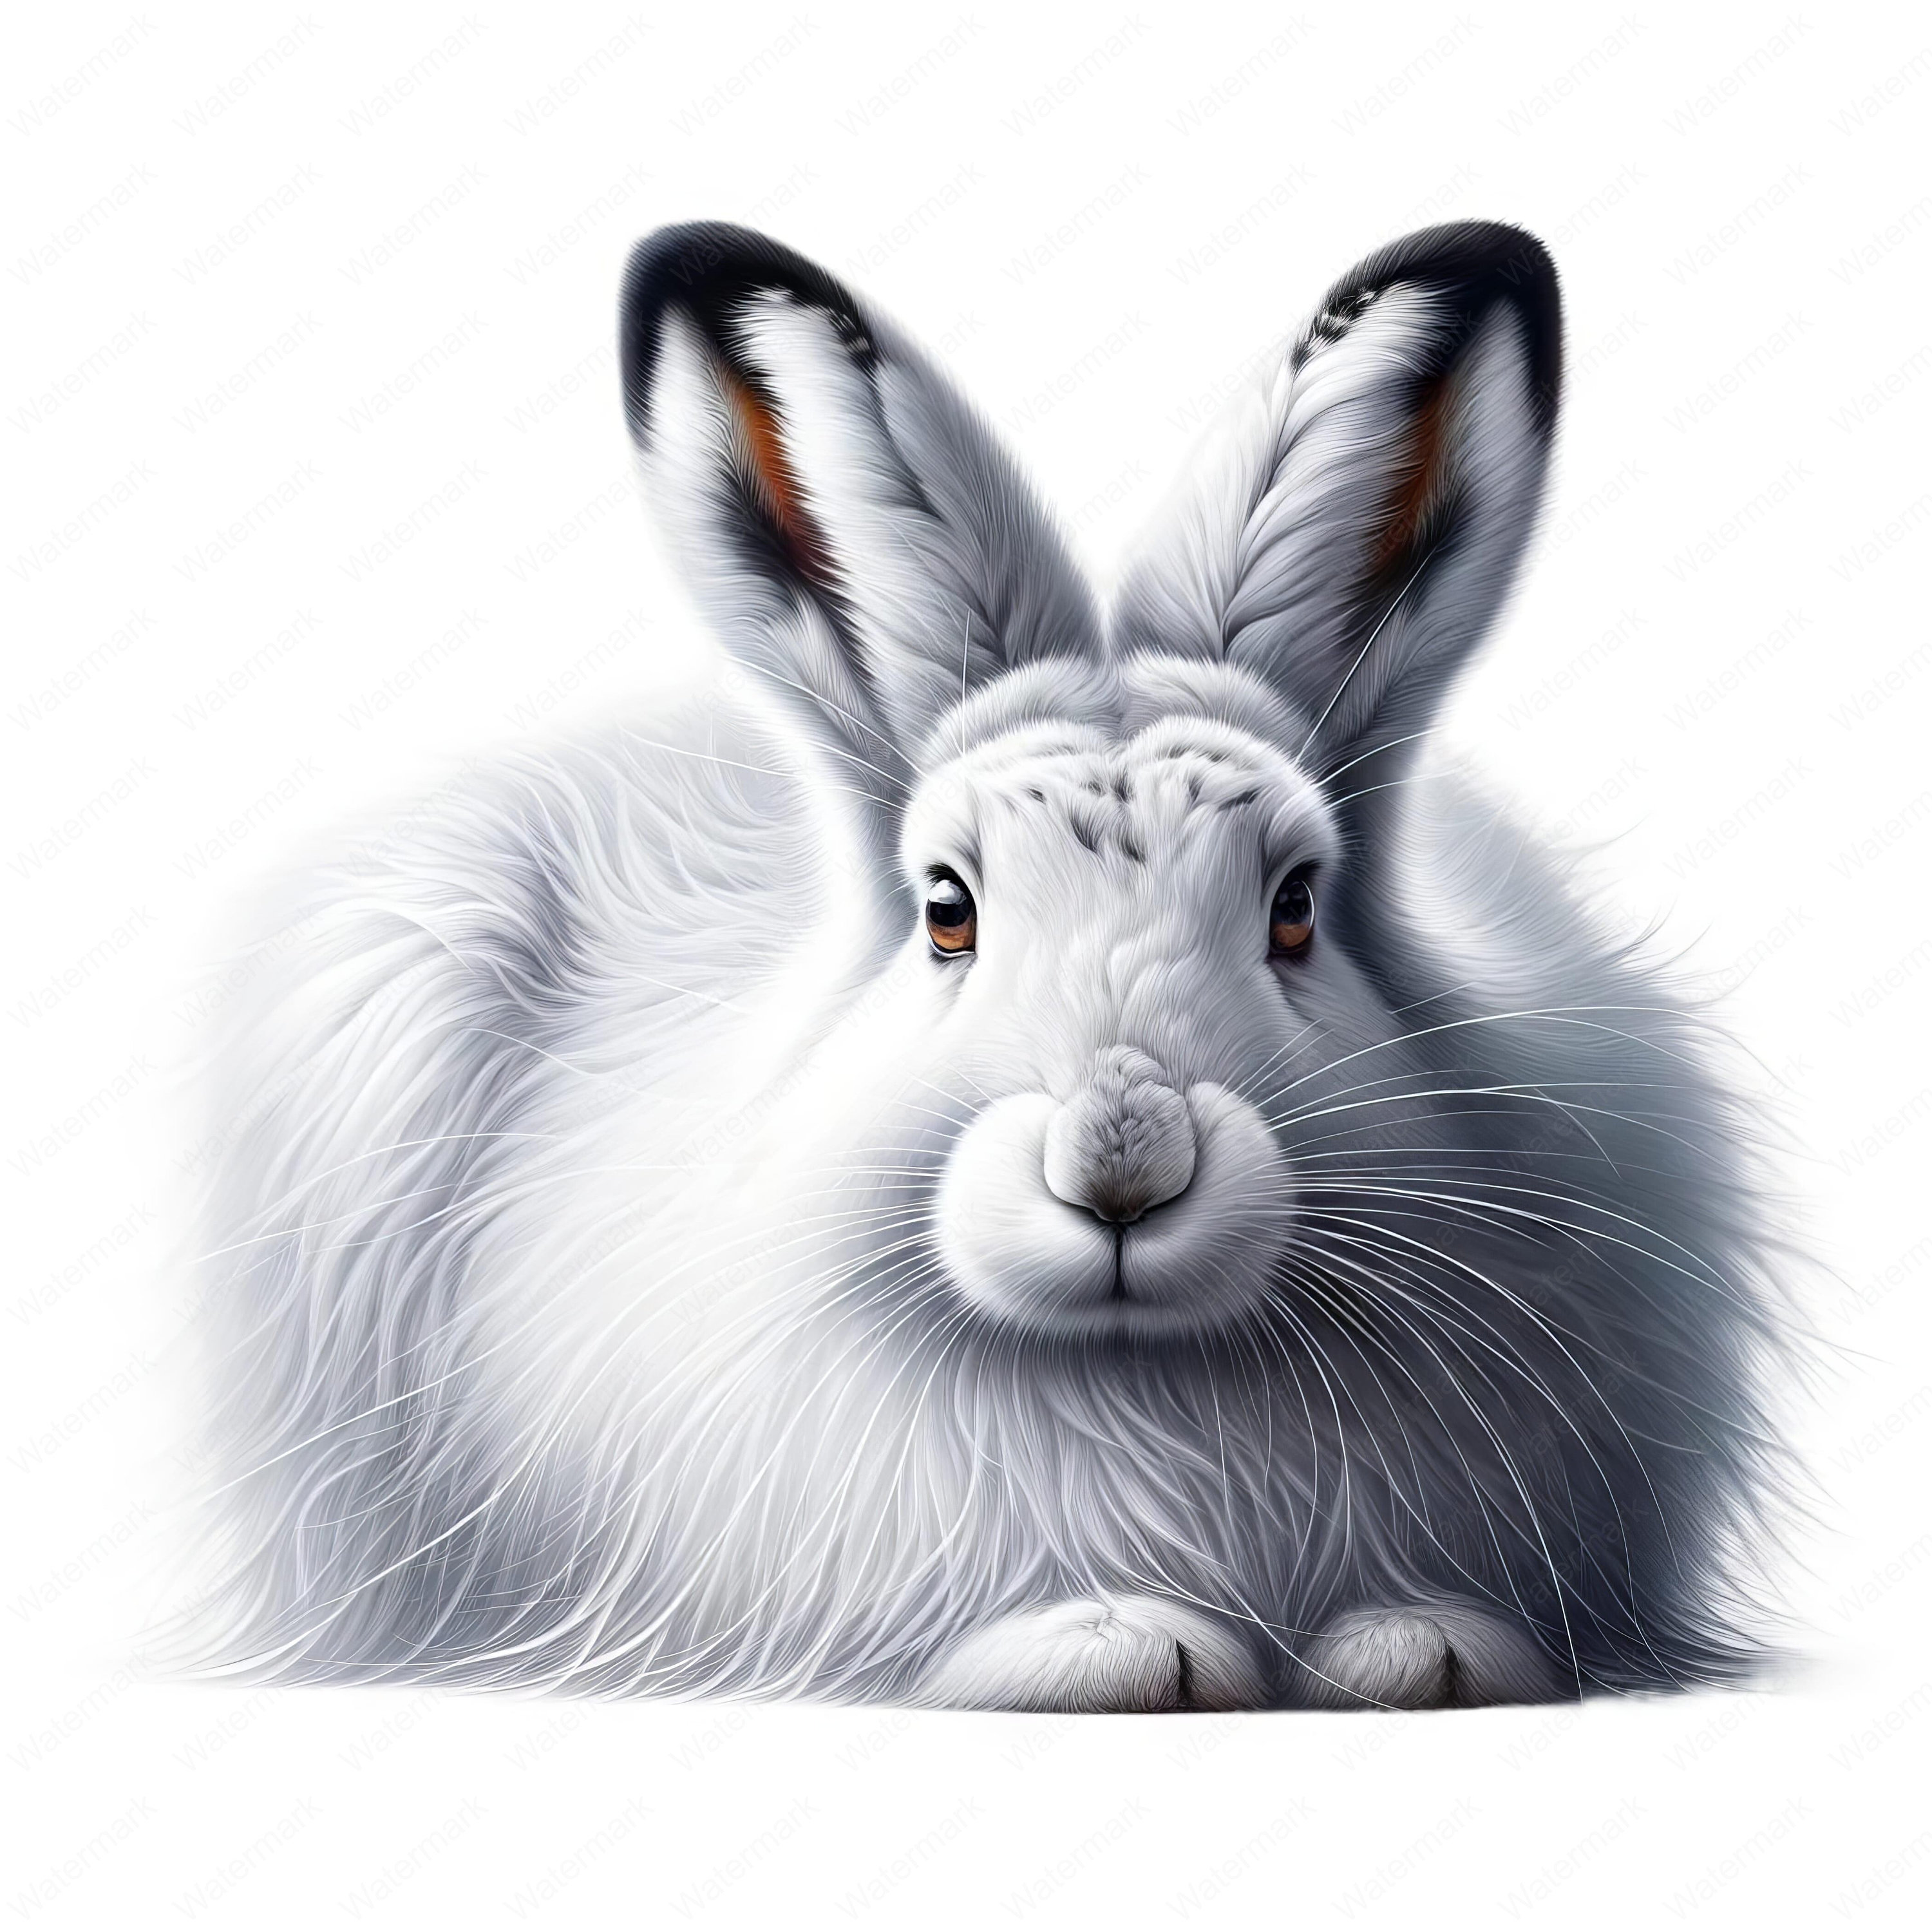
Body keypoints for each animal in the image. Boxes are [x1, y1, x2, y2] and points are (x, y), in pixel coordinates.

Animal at [181, 219, 1791, 1713]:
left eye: (1295, 908)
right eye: (946, 909)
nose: (1124, 1164)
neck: (1136, 1368)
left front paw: (1427, 1648)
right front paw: (1115, 1646)